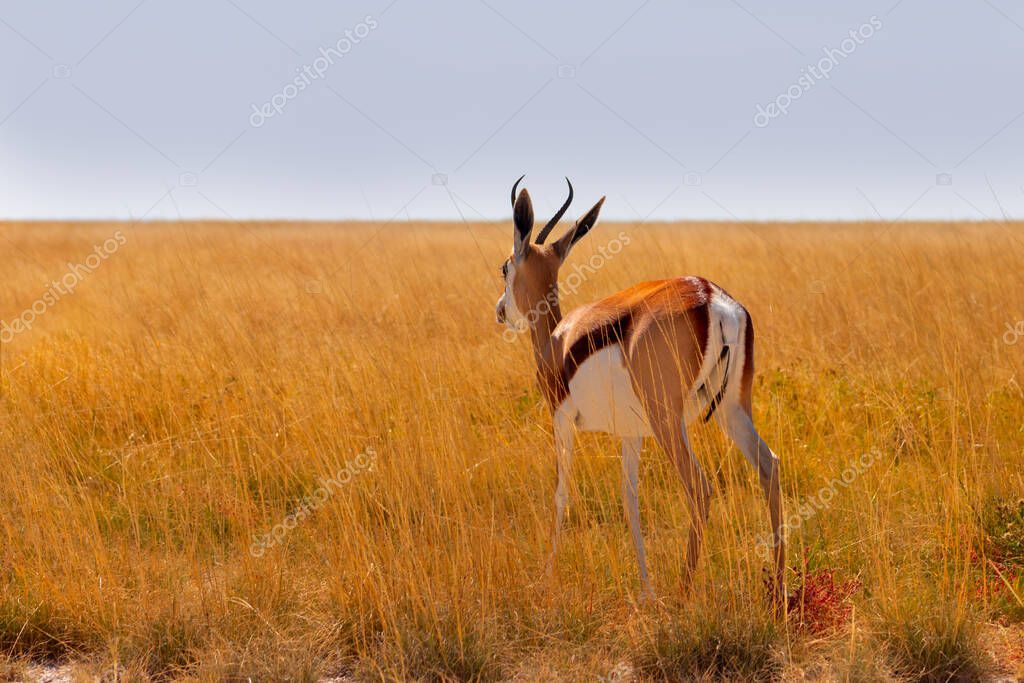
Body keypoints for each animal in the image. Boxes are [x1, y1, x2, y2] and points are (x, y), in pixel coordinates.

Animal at [495, 176, 785, 600]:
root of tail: (711, 297)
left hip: (669, 422)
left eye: (504, 267)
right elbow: (630, 499)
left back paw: (683, 591)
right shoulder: (631, 434)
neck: (558, 339)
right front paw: (646, 590)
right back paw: (779, 591)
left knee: (700, 488)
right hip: (732, 410)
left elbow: (561, 494)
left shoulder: (560, 419)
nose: (501, 310)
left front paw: (546, 579)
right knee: (769, 467)